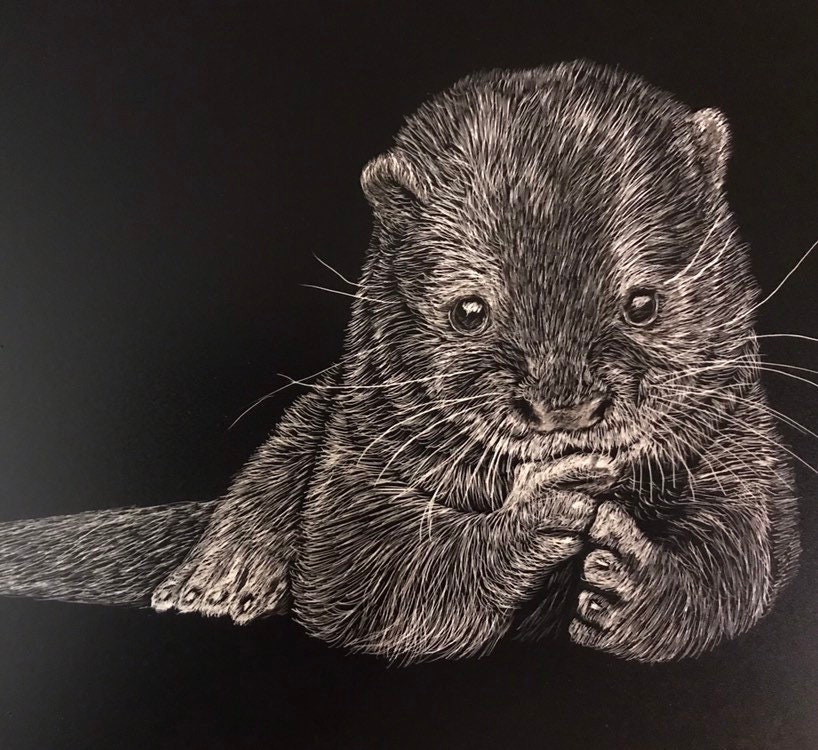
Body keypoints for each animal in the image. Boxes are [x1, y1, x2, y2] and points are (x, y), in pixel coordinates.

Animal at [0, 60, 801, 664]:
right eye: (470, 310)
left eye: (642, 302)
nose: (564, 403)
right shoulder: (357, 458)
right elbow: (363, 576)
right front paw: (539, 511)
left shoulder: (740, 456)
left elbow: (738, 561)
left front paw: (633, 581)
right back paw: (220, 578)